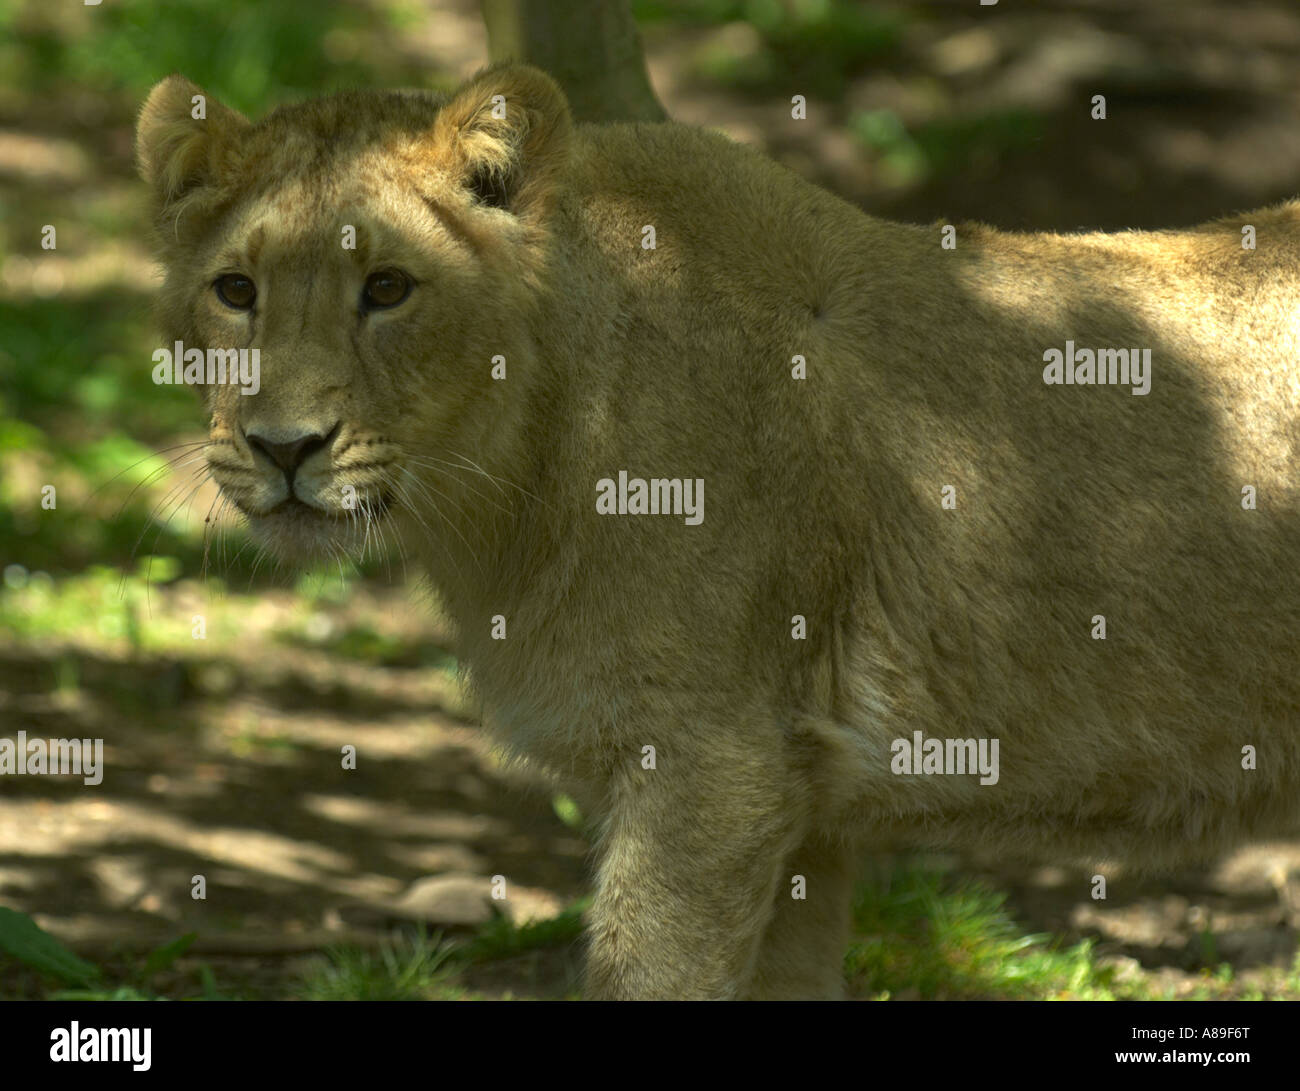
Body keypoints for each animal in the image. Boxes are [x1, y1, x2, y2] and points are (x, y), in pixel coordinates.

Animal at [136, 62, 1300, 999]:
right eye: (234, 290)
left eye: (387, 287)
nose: (284, 446)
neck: (507, 489)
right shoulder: (806, 806)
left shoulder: (714, 761)